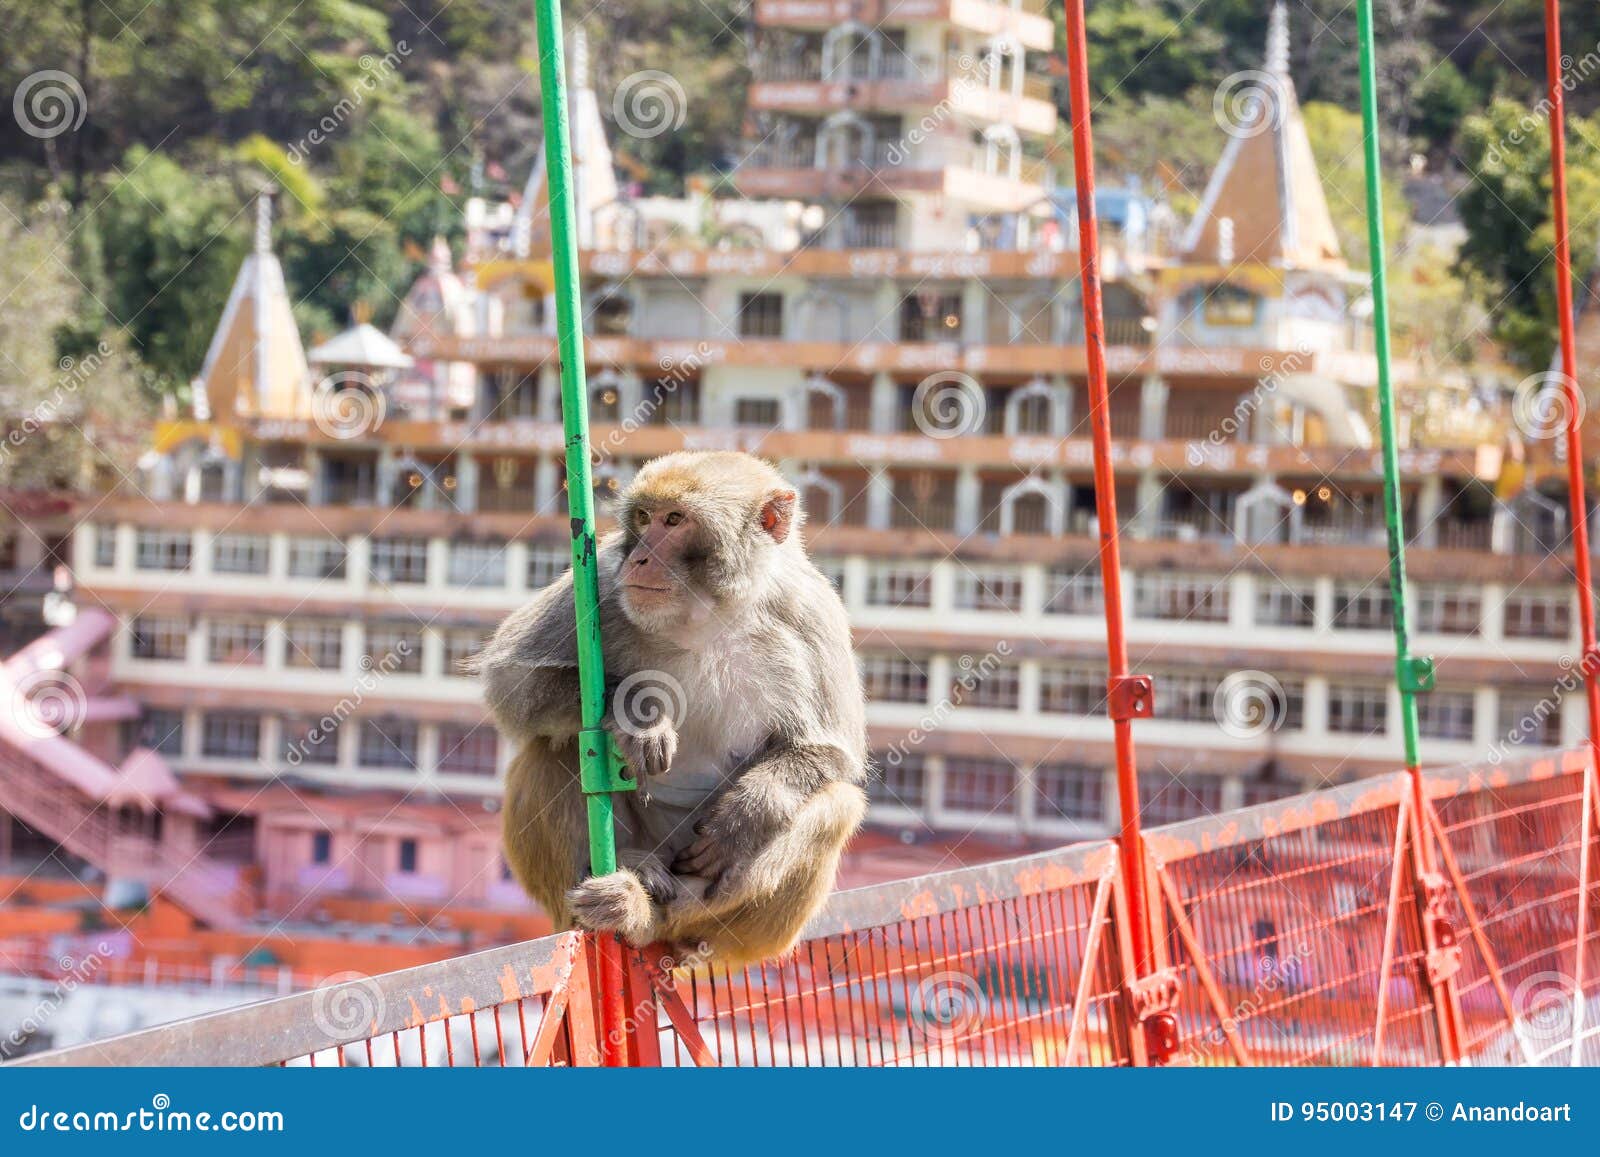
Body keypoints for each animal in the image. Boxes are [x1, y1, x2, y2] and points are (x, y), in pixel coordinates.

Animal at [475, 450, 869, 966]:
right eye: (644, 517)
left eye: (676, 520)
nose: (641, 557)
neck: (708, 614)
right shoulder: (603, 579)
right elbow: (512, 679)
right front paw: (639, 714)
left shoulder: (812, 612)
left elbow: (833, 750)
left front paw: (745, 817)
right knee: (555, 747)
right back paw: (632, 882)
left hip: (747, 939)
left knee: (836, 801)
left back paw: (667, 911)